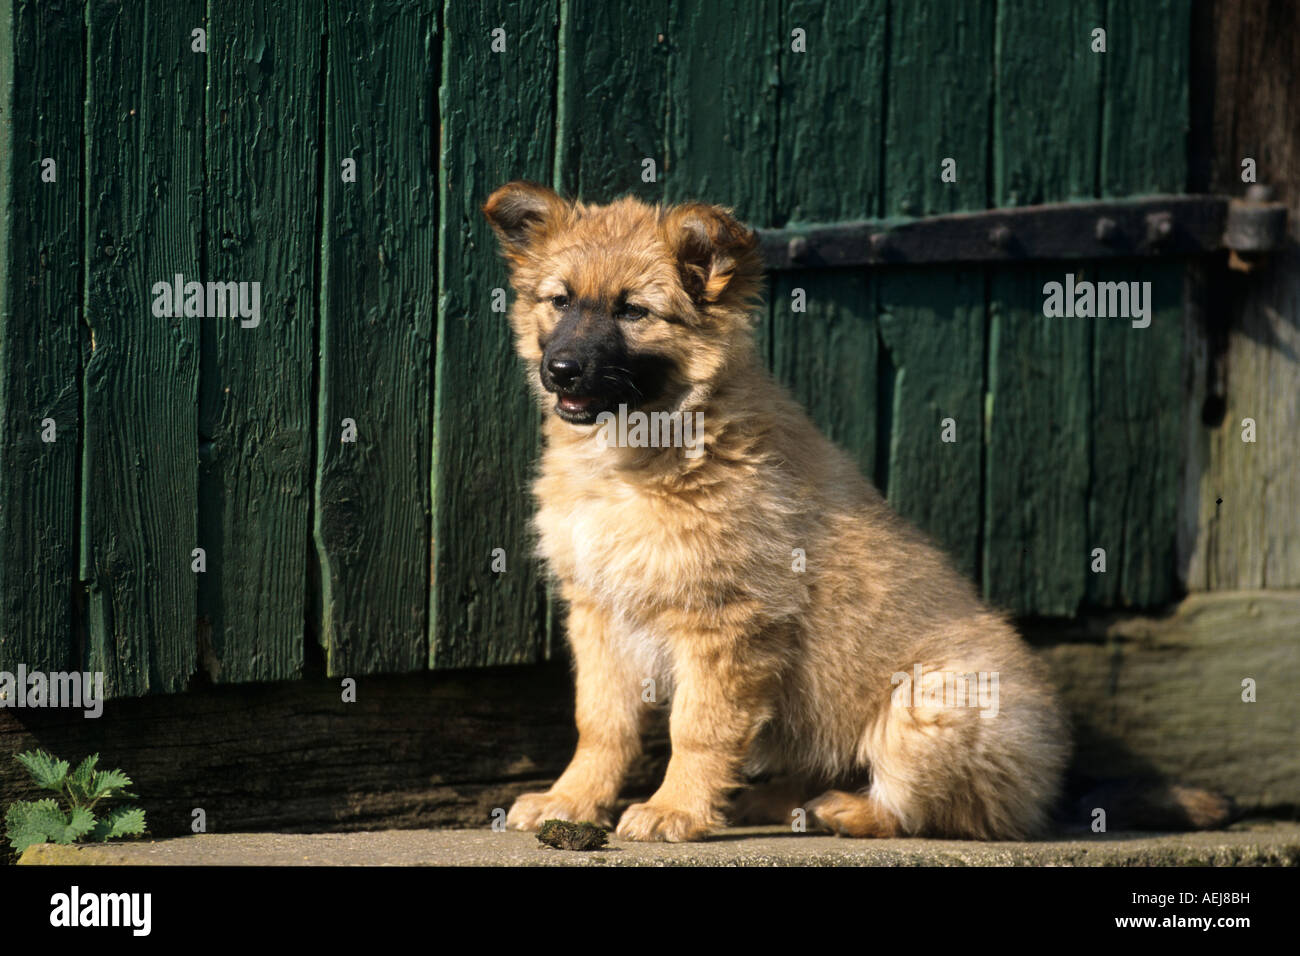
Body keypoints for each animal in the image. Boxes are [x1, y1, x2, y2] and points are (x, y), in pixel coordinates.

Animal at [482, 181, 1231, 842]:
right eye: (559, 301)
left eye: (633, 311)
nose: (562, 370)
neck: (642, 453)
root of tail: (1054, 785)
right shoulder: (598, 612)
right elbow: (600, 723)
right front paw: (572, 800)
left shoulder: (728, 622)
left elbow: (696, 729)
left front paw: (676, 811)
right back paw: (775, 801)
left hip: (926, 705)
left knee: (939, 812)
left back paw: (842, 811)